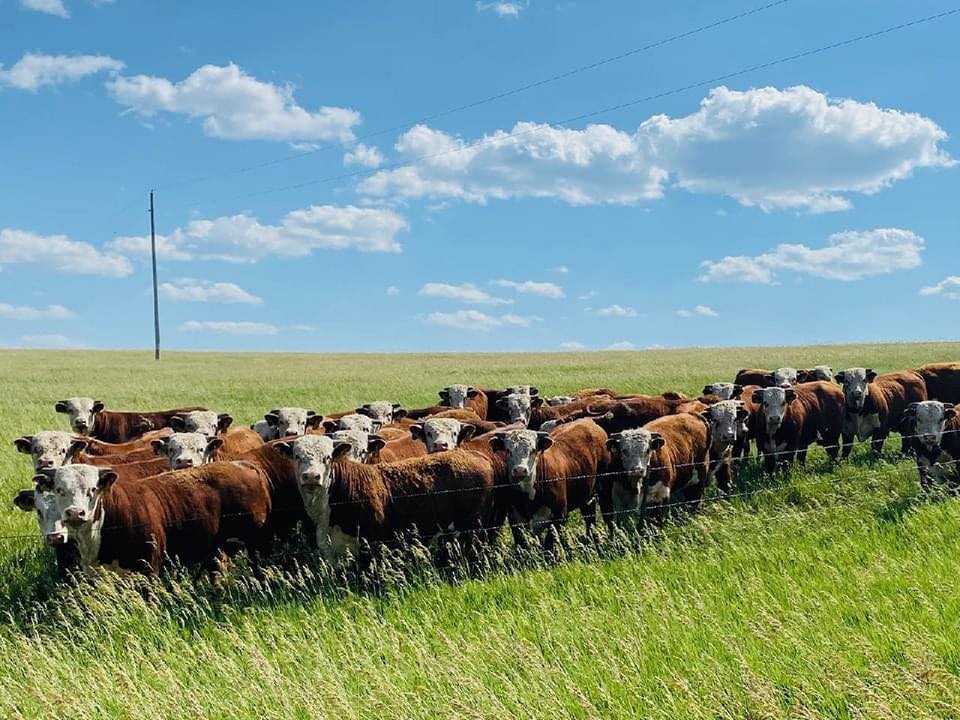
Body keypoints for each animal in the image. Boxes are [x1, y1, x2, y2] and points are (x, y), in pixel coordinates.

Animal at [34, 462, 271, 574]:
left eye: (92, 489)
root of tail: (242, 464)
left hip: (257, 545)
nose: (75, 512)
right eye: (59, 490)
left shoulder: (149, 568)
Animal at [274, 435, 496, 562]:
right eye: (296, 456)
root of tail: (476, 455)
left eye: (327, 457)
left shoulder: (371, 542)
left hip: (471, 528)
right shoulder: (330, 551)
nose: (312, 476)